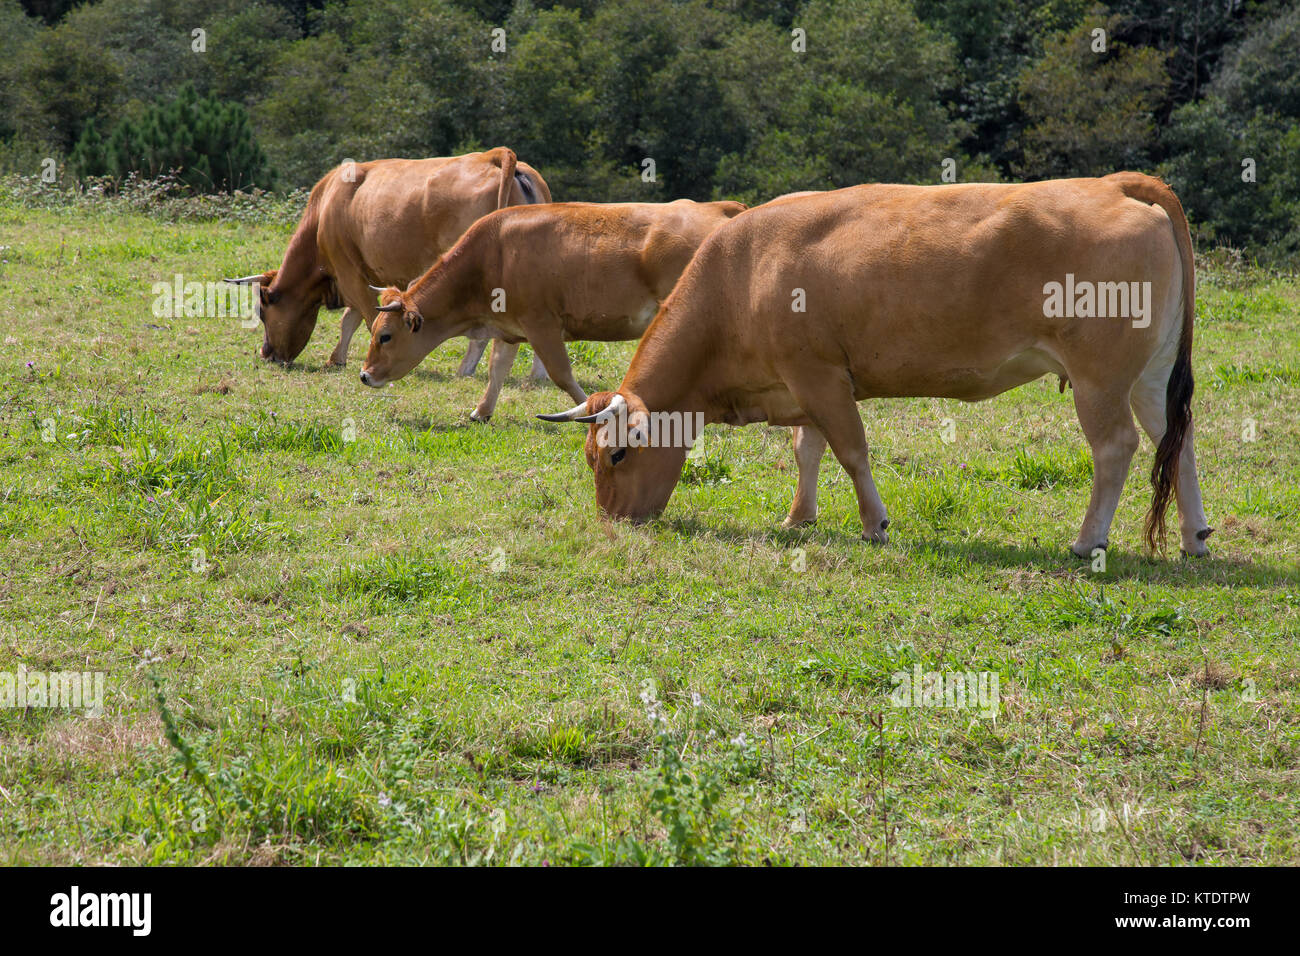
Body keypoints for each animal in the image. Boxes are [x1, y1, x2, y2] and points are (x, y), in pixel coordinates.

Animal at [223, 148, 551, 377]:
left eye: (263, 312)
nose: (267, 355)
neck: (326, 205)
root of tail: (494, 156)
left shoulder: (349, 272)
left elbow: (366, 318)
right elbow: (350, 319)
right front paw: (336, 358)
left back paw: (466, 370)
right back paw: (537, 376)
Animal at [359, 198, 747, 421]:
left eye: (385, 336)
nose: (364, 375)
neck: (491, 256)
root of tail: (721, 208)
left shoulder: (542, 325)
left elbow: (562, 374)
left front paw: (588, 409)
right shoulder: (509, 329)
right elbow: (497, 370)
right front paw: (481, 412)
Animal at [539, 173, 1213, 558]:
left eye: (617, 455)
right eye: (591, 458)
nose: (614, 521)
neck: (741, 275)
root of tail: (1116, 183)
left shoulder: (820, 375)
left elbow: (850, 450)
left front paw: (873, 524)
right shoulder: (803, 383)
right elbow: (807, 449)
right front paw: (799, 517)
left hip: (1100, 380)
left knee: (1117, 446)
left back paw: (1087, 539)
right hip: (1149, 377)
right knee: (1174, 438)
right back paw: (1194, 537)